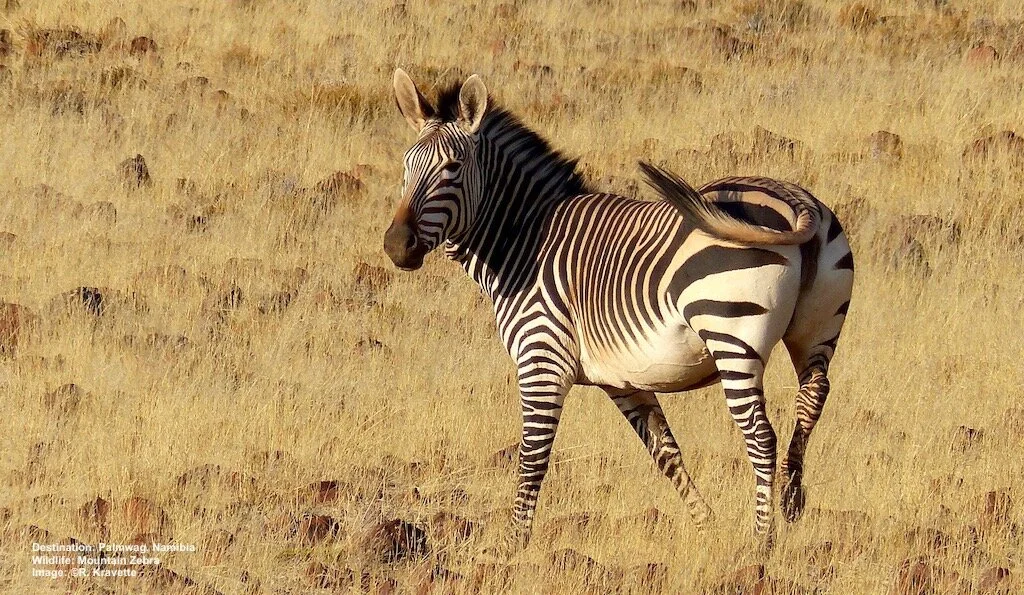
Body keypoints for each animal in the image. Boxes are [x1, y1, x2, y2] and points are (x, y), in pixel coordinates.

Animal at [384, 69, 854, 550]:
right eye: (405, 167)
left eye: (452, 168)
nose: (396, 245)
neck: (524, 241)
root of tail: (795, 201)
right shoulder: (623, 378)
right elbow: (665, 452)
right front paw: (707, 527)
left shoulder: (541, 360)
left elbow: (533, 456)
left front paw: (514, 546)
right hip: (817, 333)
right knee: (811, 400)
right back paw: (792, 502)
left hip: (731, 337)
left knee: (761, 437)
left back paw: (762, 541)